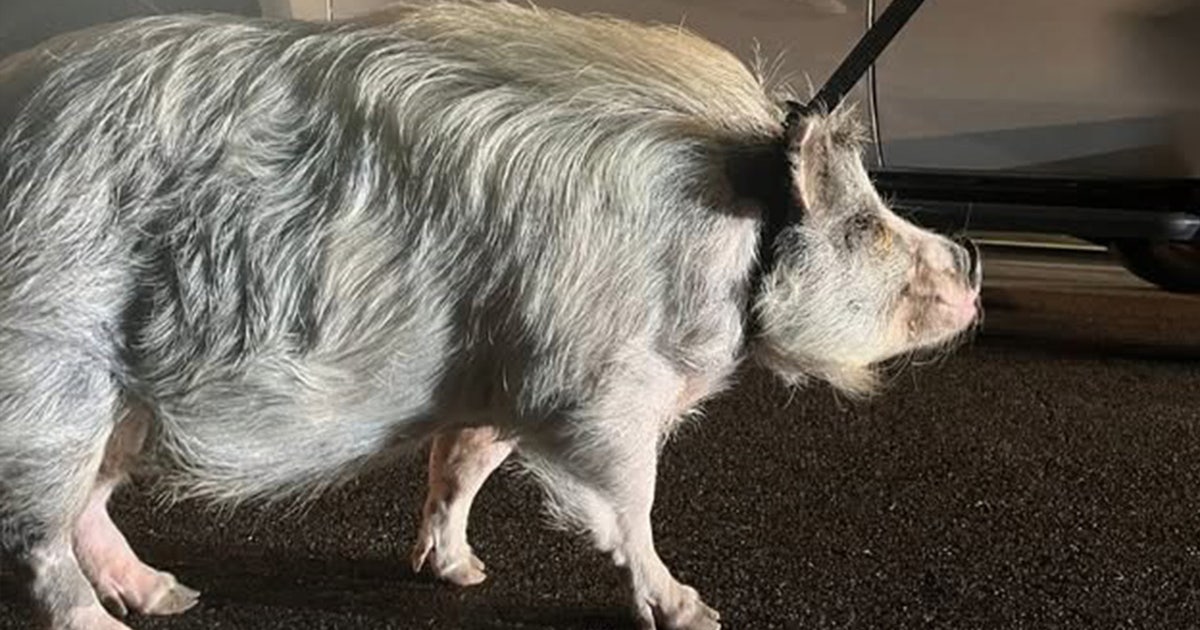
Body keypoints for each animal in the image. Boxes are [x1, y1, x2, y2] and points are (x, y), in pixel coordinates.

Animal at [0, 1, 981, 629]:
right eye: (862, 226)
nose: (970, 260)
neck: (730, 245)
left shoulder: (506, 384)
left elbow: (461, 467)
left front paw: (462, 575)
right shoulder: (599, 388)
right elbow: (629, 503)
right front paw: (694, 611)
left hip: (118, 407)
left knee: (83, 510)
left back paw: (171, 597)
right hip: (51, 373)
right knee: (38, 537)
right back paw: (110, 623)